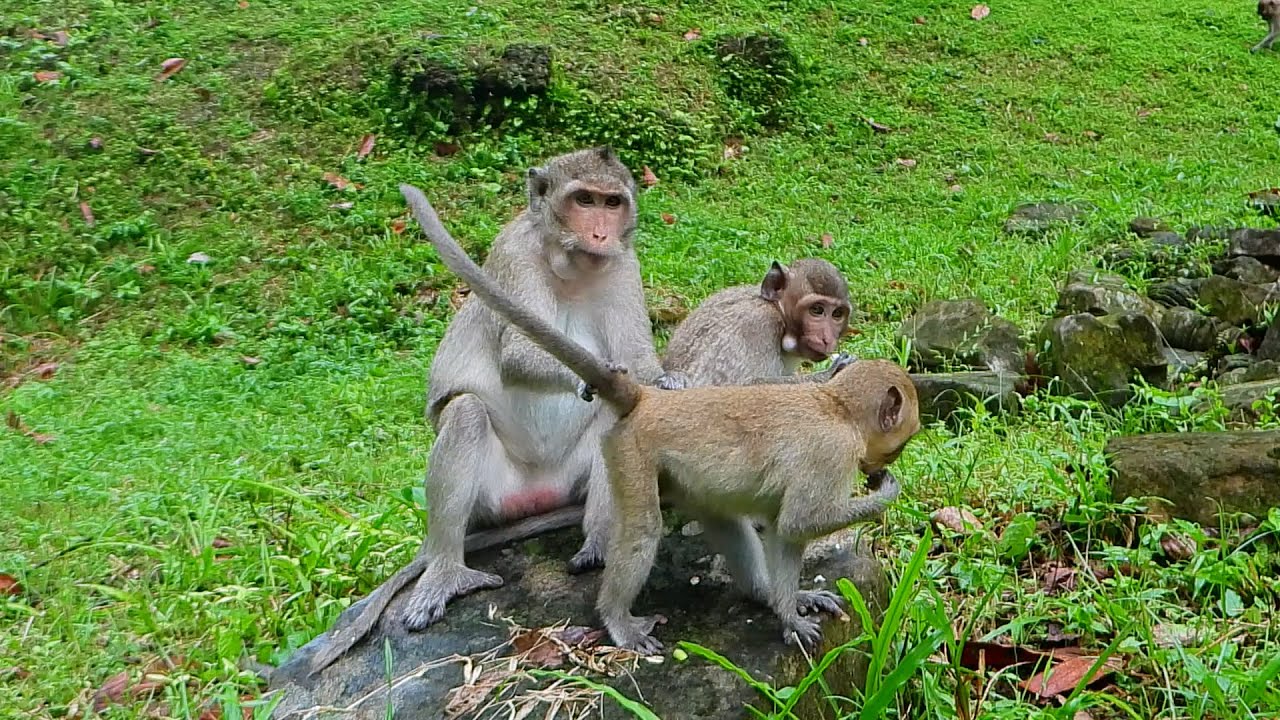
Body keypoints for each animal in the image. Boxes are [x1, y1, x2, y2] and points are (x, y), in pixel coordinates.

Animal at [308, 148, 683, 675]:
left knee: (609, 423)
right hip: (490, 497)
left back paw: (596, 543)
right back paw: (446, 573)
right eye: (584, 201)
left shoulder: (623, 264)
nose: (600, 234)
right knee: (466, 413)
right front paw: (600, 375)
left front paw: (664, 381)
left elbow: (638, 357)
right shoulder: (514, 254)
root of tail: (535, 496)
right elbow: (518, 356)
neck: (571, 269)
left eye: (612, 203)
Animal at [661, 258, 857, 390]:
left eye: (837, 314)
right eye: (817, 310)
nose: (826, 338)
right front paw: (831, 374)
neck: (777, 310)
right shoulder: (757, 325)